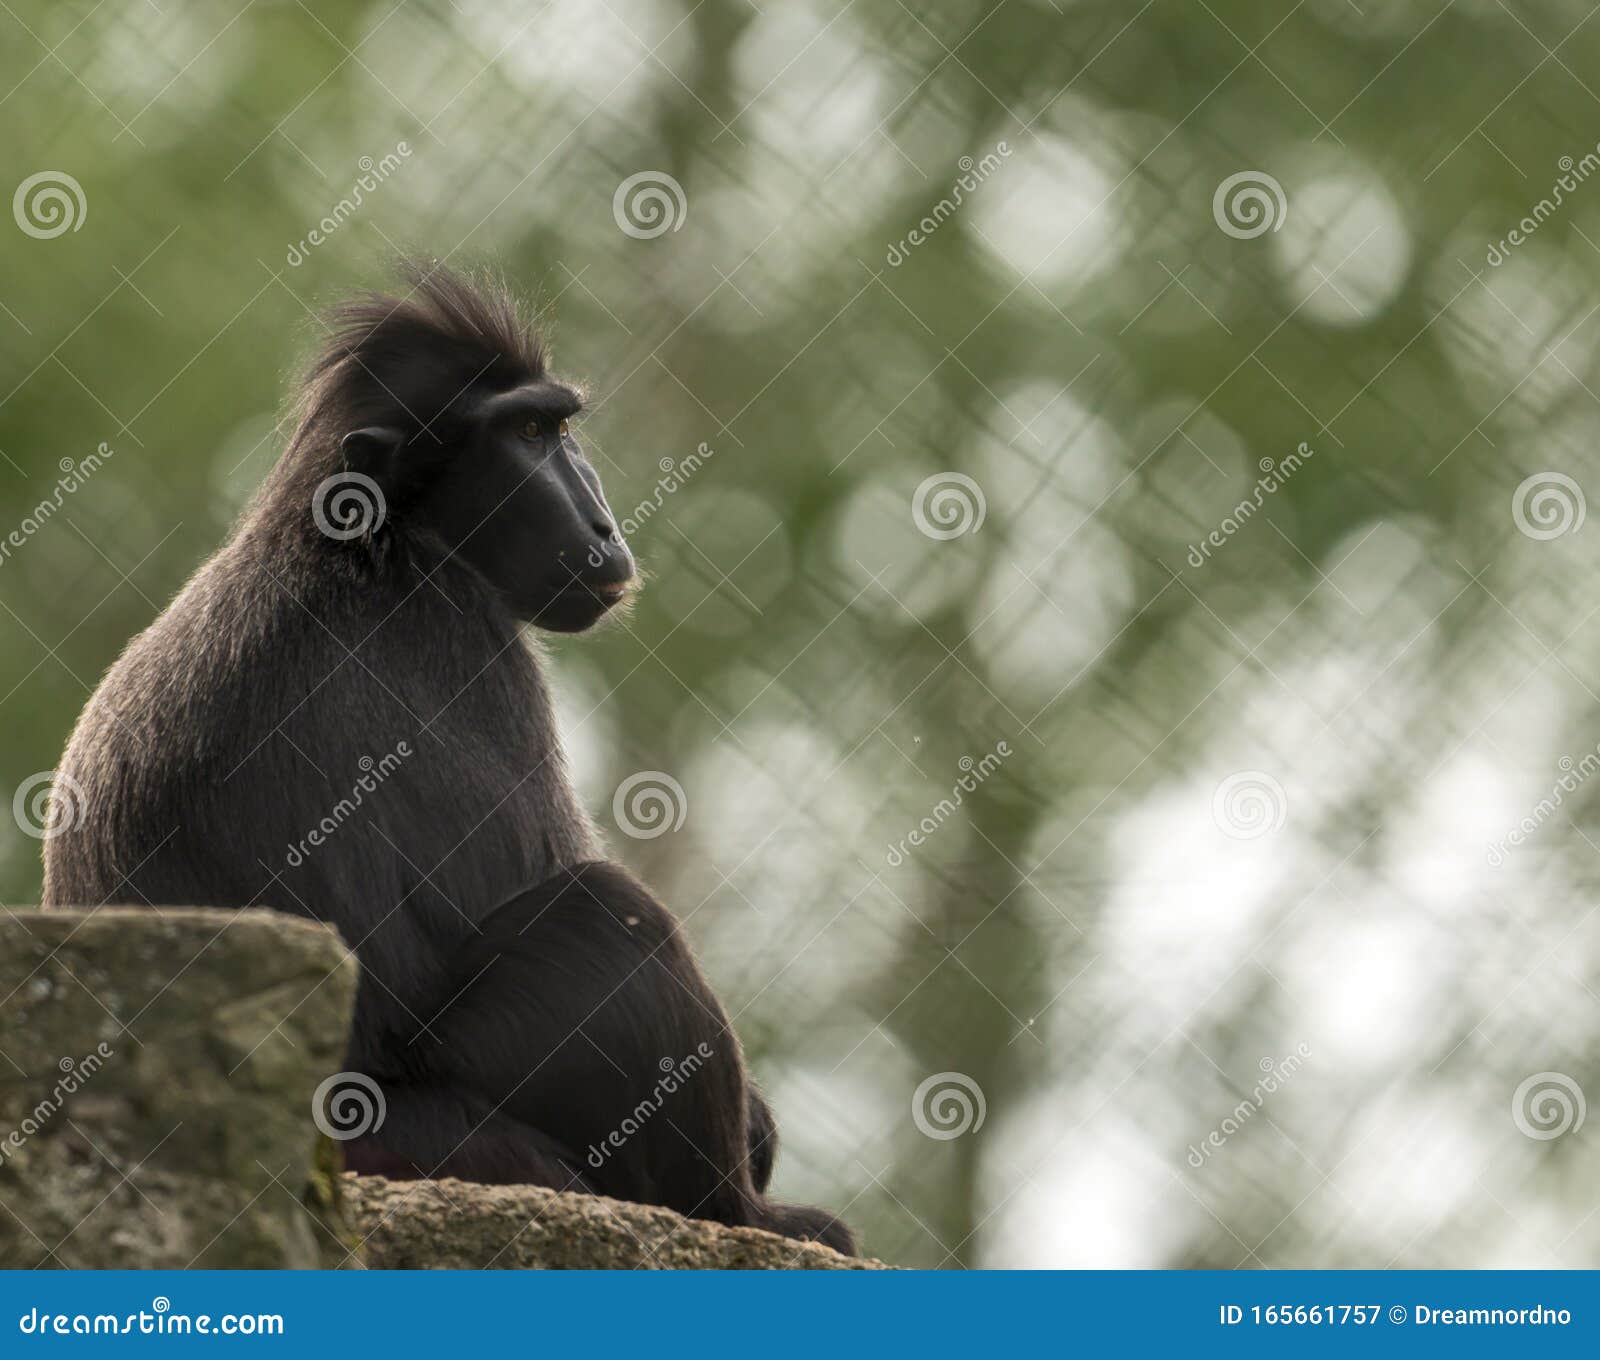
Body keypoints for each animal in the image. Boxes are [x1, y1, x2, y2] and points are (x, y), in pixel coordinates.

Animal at [41, 261, 855, 1255]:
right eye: (530, 435)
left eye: (558, 428)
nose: (603, 524)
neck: (372, 542)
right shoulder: (467, 636)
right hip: (438, 1136)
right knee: (602, 915)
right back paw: (747, 1217)